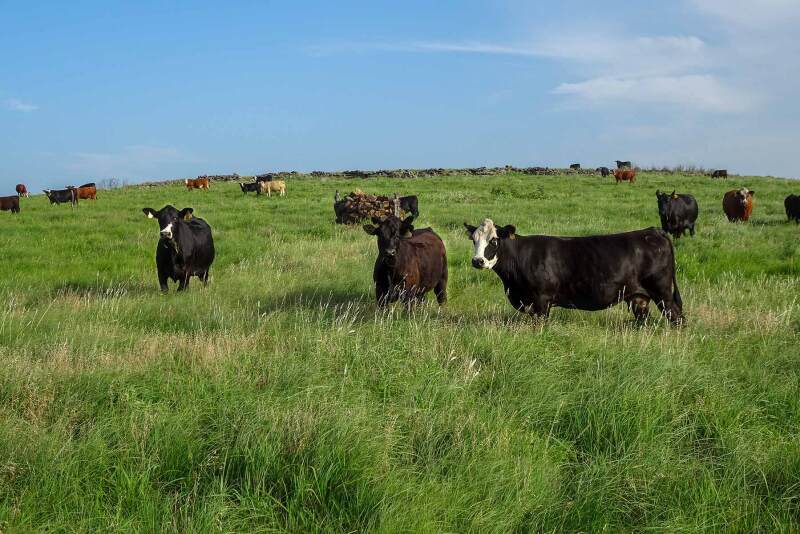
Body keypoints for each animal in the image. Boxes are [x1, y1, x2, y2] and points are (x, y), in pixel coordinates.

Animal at [464, 219, 683, 324]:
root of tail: (653, 231)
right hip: (639, 297)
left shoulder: (542, 301)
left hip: (662, 292)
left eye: (494, 240)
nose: (477, 261)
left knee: (678, 318)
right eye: (474, 240)